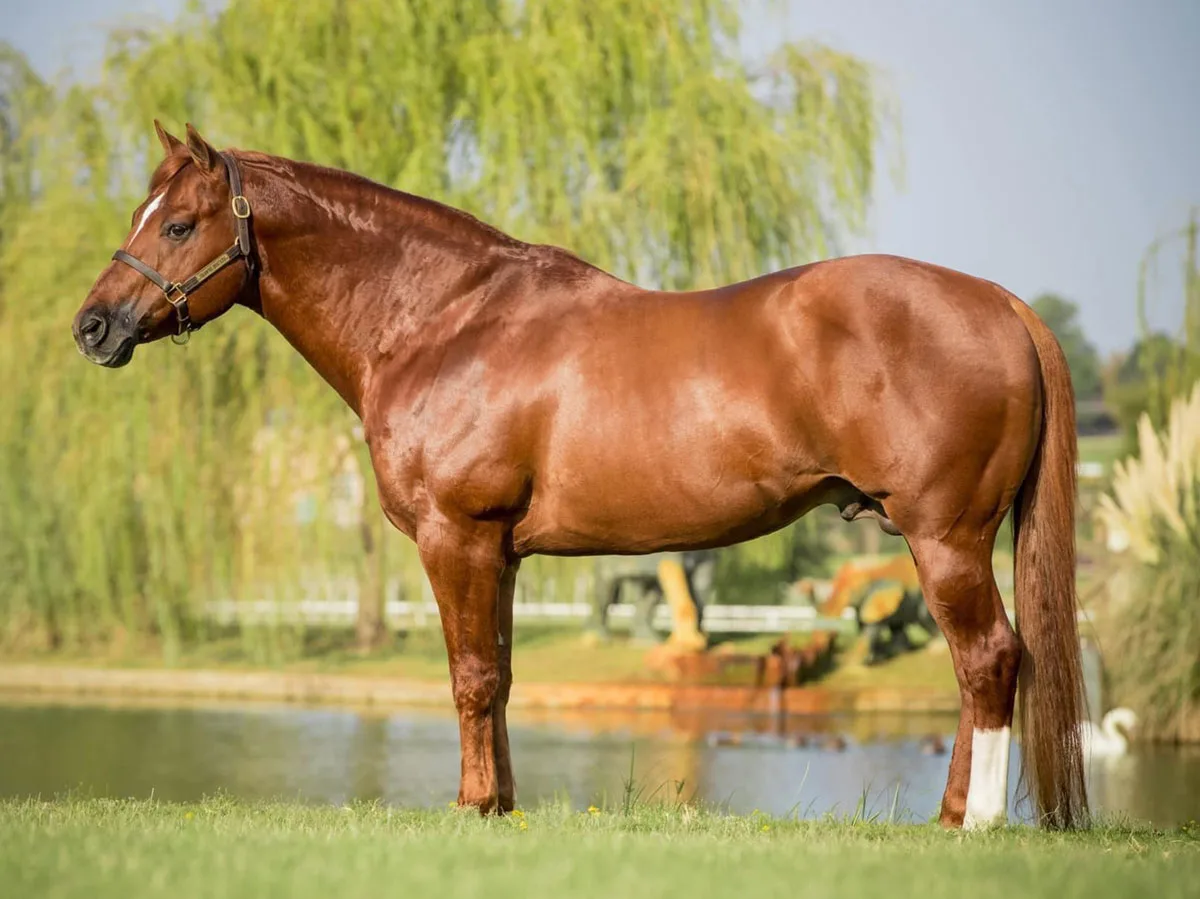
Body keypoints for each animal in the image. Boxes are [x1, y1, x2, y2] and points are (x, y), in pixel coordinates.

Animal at [72, 122, 1088, 830]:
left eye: (178, 222)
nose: (93, 326)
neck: (444, 321)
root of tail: (1000, 303)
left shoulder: (455, 535)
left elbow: (469, 676)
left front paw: (470, 806)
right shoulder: (501, 551)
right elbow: (502, 675)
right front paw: (501, 805)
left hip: (944, 536)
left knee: (989, 660)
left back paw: (973, 823)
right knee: (977, 667)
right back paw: (951, 813)